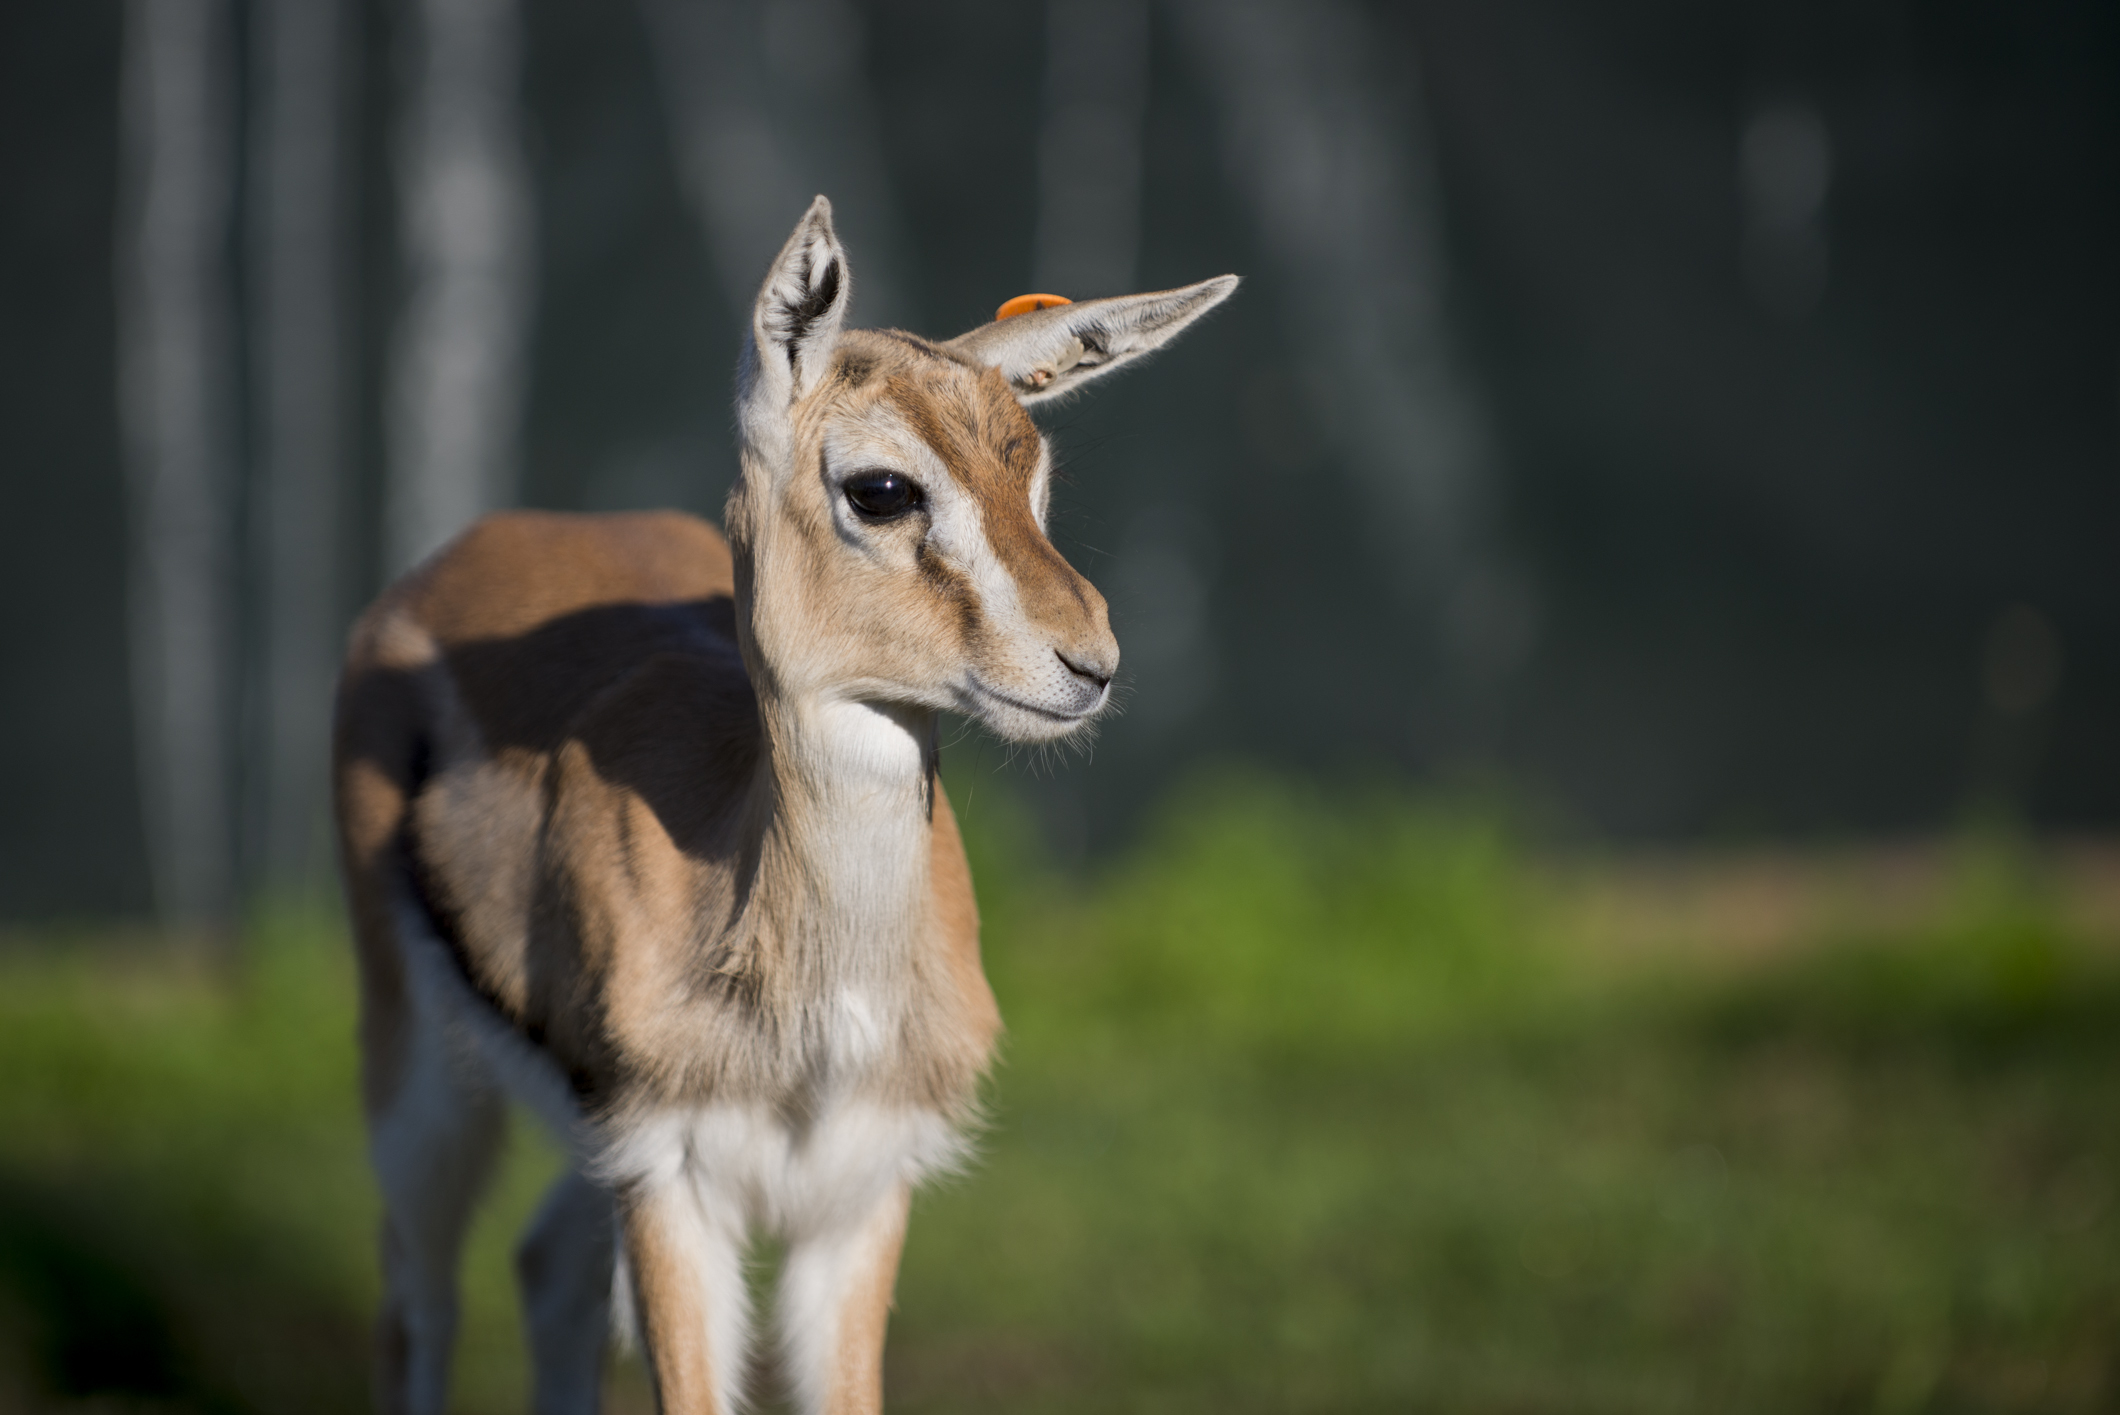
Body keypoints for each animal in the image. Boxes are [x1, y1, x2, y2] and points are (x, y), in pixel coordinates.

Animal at [333, 196, 1236, 1415]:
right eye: (881, 487)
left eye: (1033, 477)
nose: (1087, 663)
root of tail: (489, 540)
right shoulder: (668, 1177)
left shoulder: (856, 1191)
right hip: (419, 1085)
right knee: (415, 1298)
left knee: (545, 1266)